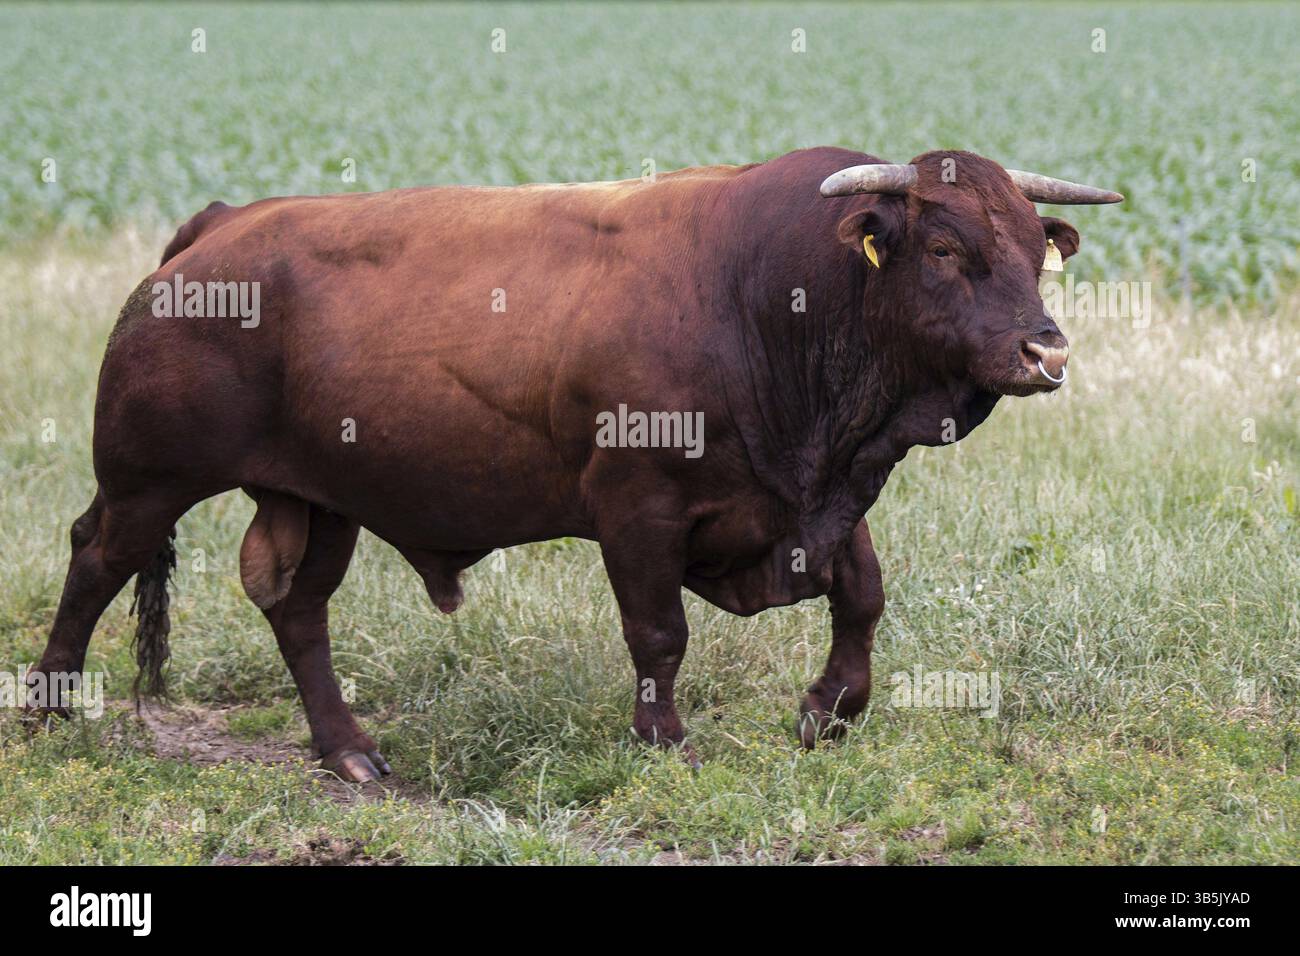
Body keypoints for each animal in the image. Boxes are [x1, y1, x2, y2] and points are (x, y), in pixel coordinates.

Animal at [27, 148, 1121, 781]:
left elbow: (862, 593)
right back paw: (46, 709)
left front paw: (828, 710)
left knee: (298, 612)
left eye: (1035, 249)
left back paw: (348, 750)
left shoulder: (807, 498)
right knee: (92, 560)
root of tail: (222, 221)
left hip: (319, 498)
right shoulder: (637, 505)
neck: (768, 293)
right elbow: (660, 633)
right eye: (944, 249)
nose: (1045, 349)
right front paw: (663, 741)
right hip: (146, 481)